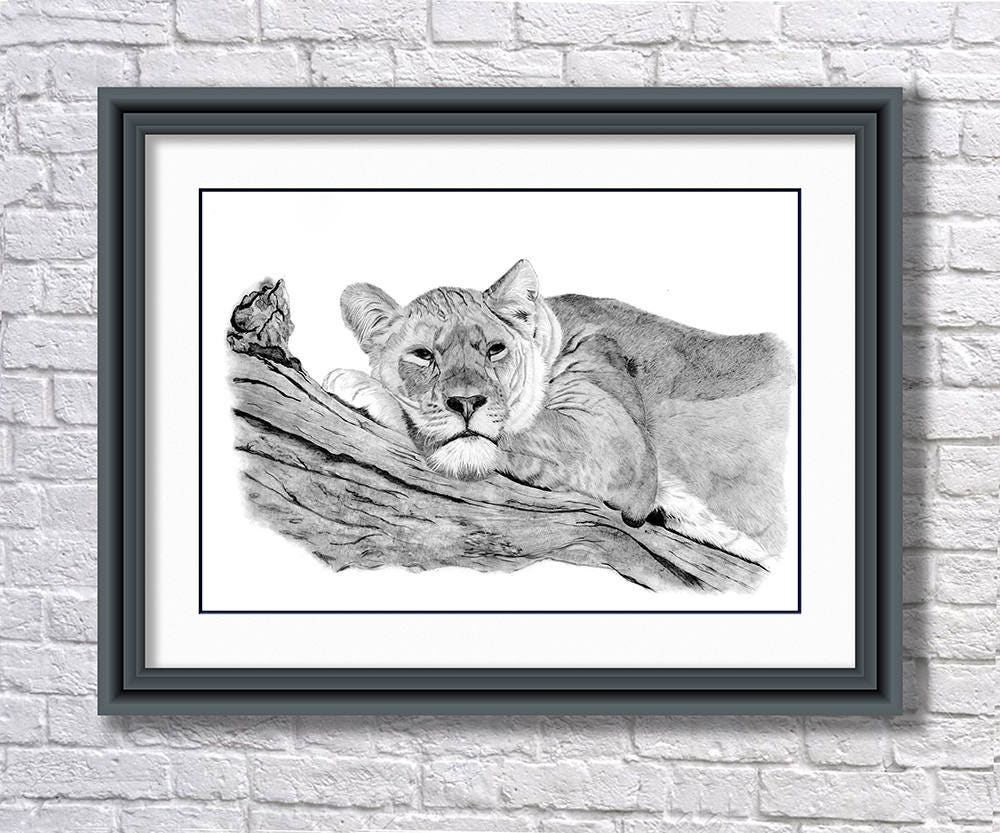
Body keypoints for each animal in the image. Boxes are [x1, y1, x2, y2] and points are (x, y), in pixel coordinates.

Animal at [324, 260, 793, 563]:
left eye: (495, 349)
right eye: (423, 356)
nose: (466, 403)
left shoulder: (616, 438)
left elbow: (518, 425)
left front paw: (364, 387)